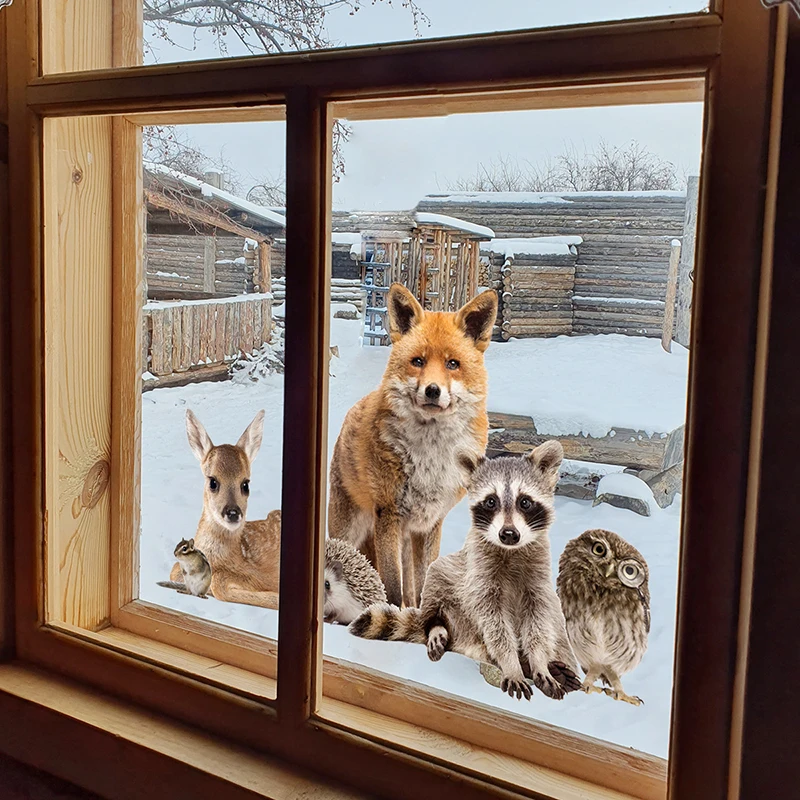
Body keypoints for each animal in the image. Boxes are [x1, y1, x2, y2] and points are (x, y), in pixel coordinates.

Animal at [165, 409, 282, 609]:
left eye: (245, 484)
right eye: (213, 481)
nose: (233, 513)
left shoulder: (262, 575)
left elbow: (219, 583)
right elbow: (174, 570)